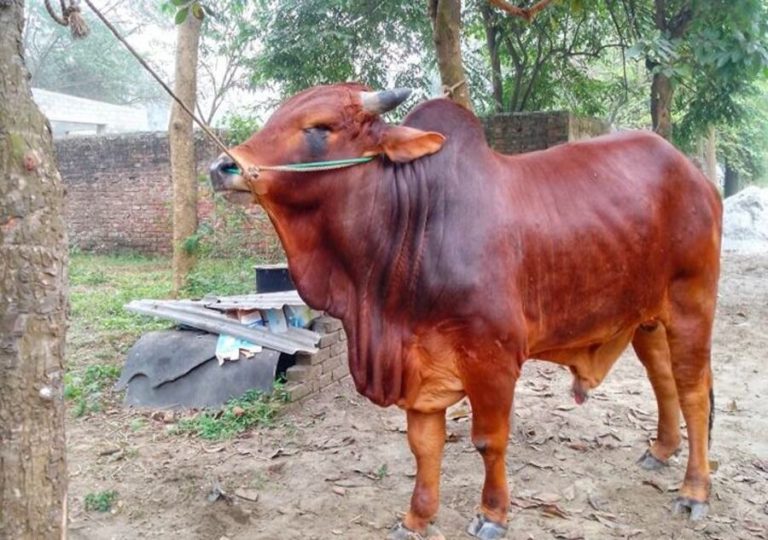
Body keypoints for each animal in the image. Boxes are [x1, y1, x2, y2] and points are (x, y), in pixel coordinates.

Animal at [209, 83, 722, 539]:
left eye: (320, 127)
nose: (222, 167)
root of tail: (696, 176)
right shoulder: (418, 364)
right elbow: (423, 445)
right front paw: (416, 519)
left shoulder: (492, 359)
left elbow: (488, 441)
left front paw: (492, 515)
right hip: (645, 317)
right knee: (663, 379)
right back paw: (661, 450)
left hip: (692, 303)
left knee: (693, 391)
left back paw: (694, 491)